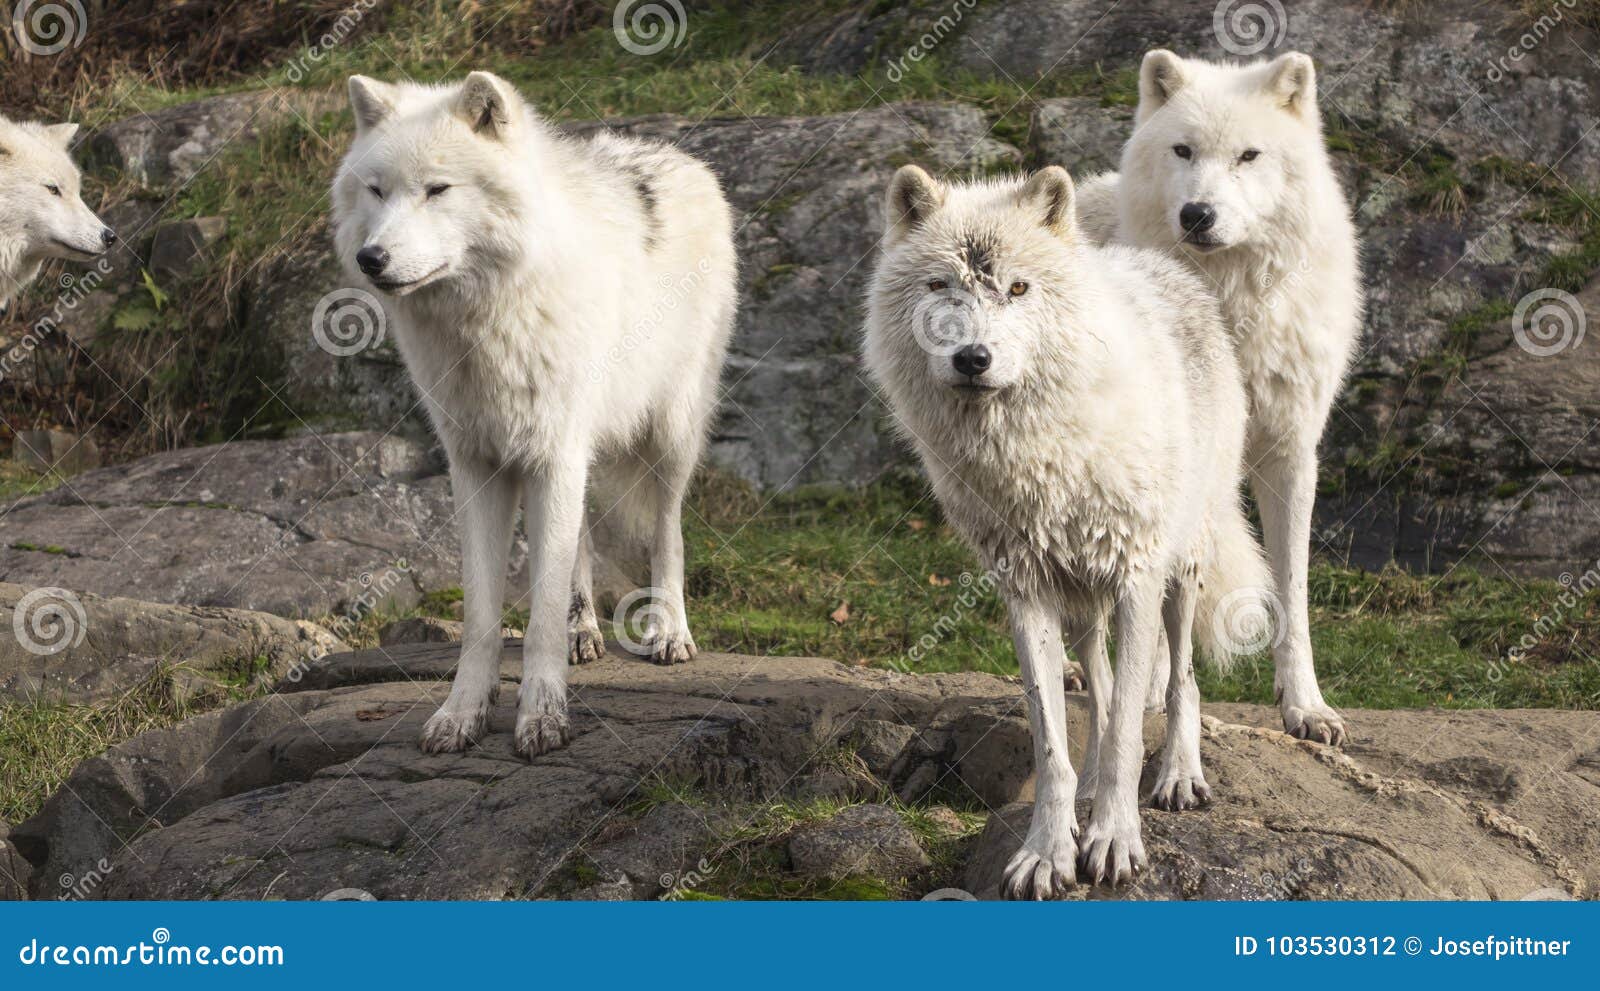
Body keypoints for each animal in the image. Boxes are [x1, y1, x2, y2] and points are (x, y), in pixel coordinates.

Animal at [331, 72, 737, 758]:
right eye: (377, 190)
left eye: (438, 189)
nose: (371, 258)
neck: (487, 319)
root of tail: (671, 154)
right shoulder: (479, 465)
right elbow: (482, 614)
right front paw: (462, 713)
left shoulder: (554, 452)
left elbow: (541, 609)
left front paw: (542, 715)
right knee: (579, 544)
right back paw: (584, 631)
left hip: (669, 434)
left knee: (668, 530)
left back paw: (669, 632)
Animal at [864, 164, 1269, 896]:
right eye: (940, 287)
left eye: (1018, 288)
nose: (972, 357)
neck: (1033, 451)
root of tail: (1161, 266)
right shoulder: (1026, 589)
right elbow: (1053, 738)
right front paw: (1050, 848)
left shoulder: (1136, 576)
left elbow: (1137, 719)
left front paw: (1113, 839)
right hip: (1082, 598)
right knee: (1103, 696)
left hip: (1181, 565)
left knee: (1180, 679)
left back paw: (1178, 775)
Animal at [1077, 51, 1363, 745]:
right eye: (1183, 150)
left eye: (1248, 156)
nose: (1197, 215)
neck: (1230, 304)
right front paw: (1150, 695)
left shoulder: (1290, 453)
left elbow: (1292, 591)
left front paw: (1305, 706)